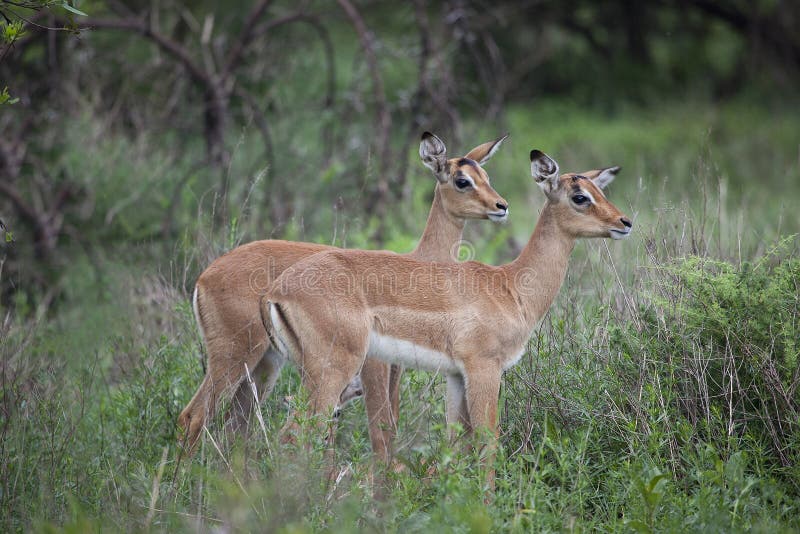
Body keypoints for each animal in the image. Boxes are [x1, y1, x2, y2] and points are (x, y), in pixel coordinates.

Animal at [177, 132, 510, 456]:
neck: (421, 259)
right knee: (194, 416)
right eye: (462, 180)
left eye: (486, 175)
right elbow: (382, 429)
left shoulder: (396, 366)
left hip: (265, 365)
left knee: (236, 428)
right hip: (235, 357)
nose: (501, 206)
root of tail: (204, 277)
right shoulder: (374, 364)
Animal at [261, 150, 632, 486]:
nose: (625, 223)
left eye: (600, 191)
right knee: (295, 435)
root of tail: (275, 291)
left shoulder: (455, 375)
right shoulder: (484, 367)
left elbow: (455, 444)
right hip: (335, 369)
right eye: (580, 197)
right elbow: (487, 442)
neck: (510, 287)